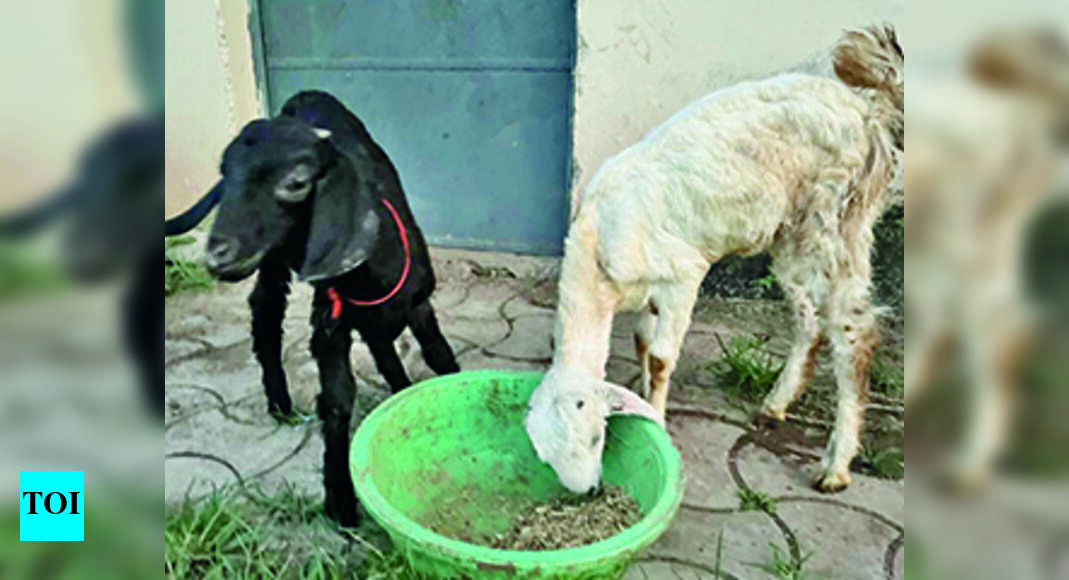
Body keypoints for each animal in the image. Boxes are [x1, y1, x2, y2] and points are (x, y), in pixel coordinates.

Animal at [171, 90, 459, 525]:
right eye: (224, 174)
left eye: (296, 182)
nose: (218, 254)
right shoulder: (330, 325)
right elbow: (338, 400)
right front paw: (341, 501)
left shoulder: (418, 305)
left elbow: (437, 356)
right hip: (273, 260)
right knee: (266, 311)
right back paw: (280, 402)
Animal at [526, 25, 903, 494]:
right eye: (545, 457)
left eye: (595, 437)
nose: (589, 490)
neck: (599, 252)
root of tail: (867, 107)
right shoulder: (648, 289)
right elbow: (642, 343)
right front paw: (645, 399)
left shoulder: (683, 275)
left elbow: (661, 357)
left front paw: (658, 418)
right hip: (792, 233)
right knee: (810, 321)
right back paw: (775, 405)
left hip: (837, 217)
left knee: (855, 332)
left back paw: (835, 466)